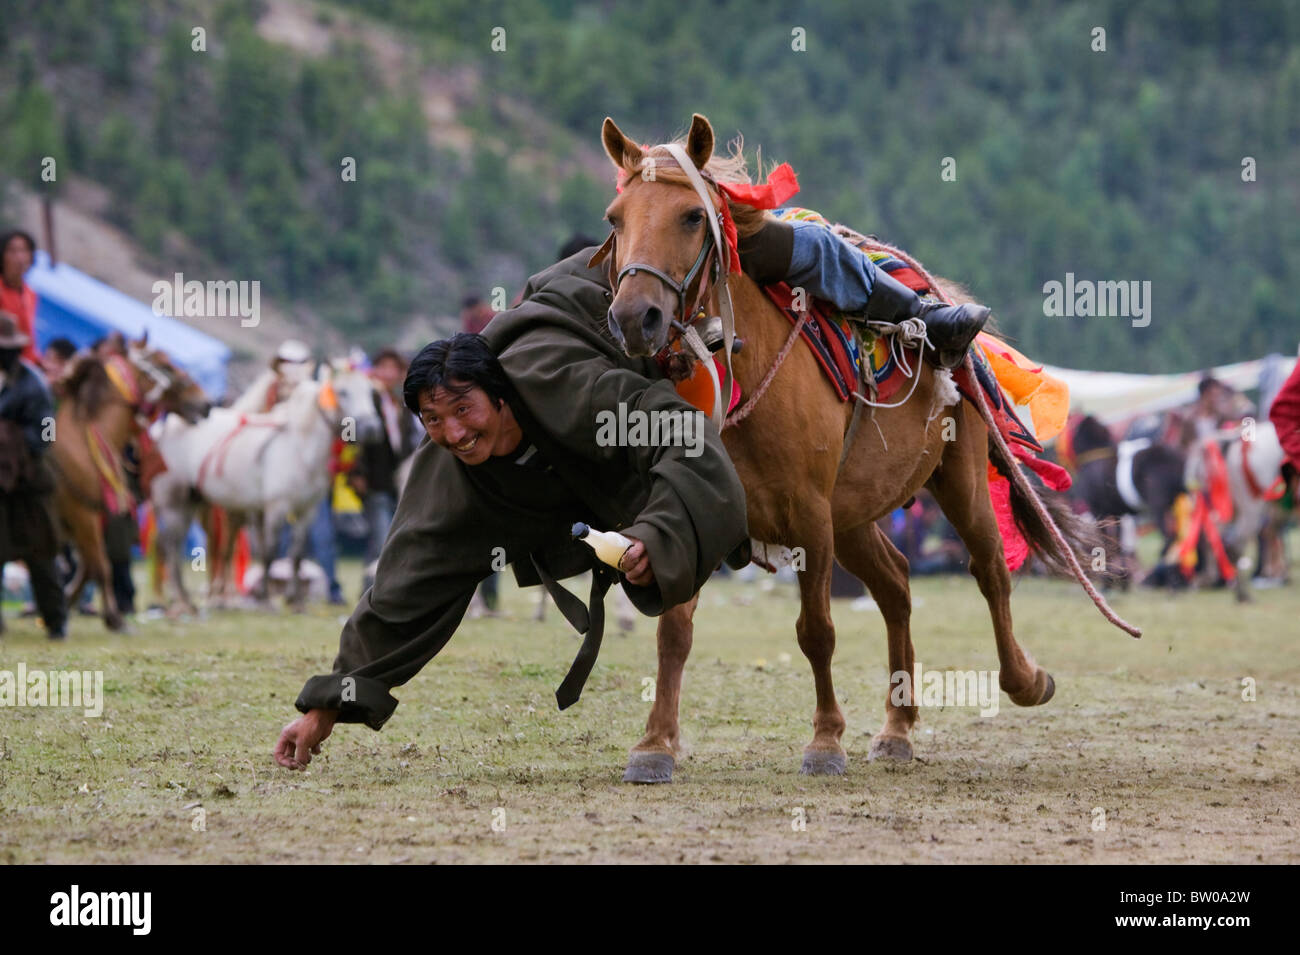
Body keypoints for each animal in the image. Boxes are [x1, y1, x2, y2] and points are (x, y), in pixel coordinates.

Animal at [50, 338, 211, 631]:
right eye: (165, 364)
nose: (205, 403)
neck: (79, 444)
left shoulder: (84, 521)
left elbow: (89, 565)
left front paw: (65, 606)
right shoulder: (82, 515)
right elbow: (99, 565)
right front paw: (114, 618)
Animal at [154, 365, 380, 610]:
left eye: (370, 392)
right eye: (342, 392)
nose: (371, 428)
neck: (300, 448)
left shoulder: (306, 509)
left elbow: (297, 555)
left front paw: (295, 600)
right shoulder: (275, 507)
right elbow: (270, 551)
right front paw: (265, 598)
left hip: (192, 501)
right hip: (174, 502)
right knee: (171, 547)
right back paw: (186, 600)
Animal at [597, 114, 1138, 782]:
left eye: (692, 216)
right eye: (615, 219)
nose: (635, 317)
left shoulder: (809, 516)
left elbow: (816, 631)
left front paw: (826, 740)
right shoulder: (704, 511)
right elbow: (674, 628)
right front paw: (655, 744)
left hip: (956, 480)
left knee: (989, 571)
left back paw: (1024, 679)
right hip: (852, 515)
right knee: (898, 585)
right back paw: (898, 726)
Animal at [1068, 414, 1186, 588]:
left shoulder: (1099, 511)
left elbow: (1106, 542)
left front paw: (1108, 582)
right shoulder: (1118, 513)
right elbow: (1118, 544)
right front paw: (1123, 581)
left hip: (1159, 507)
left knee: (1169, 539)